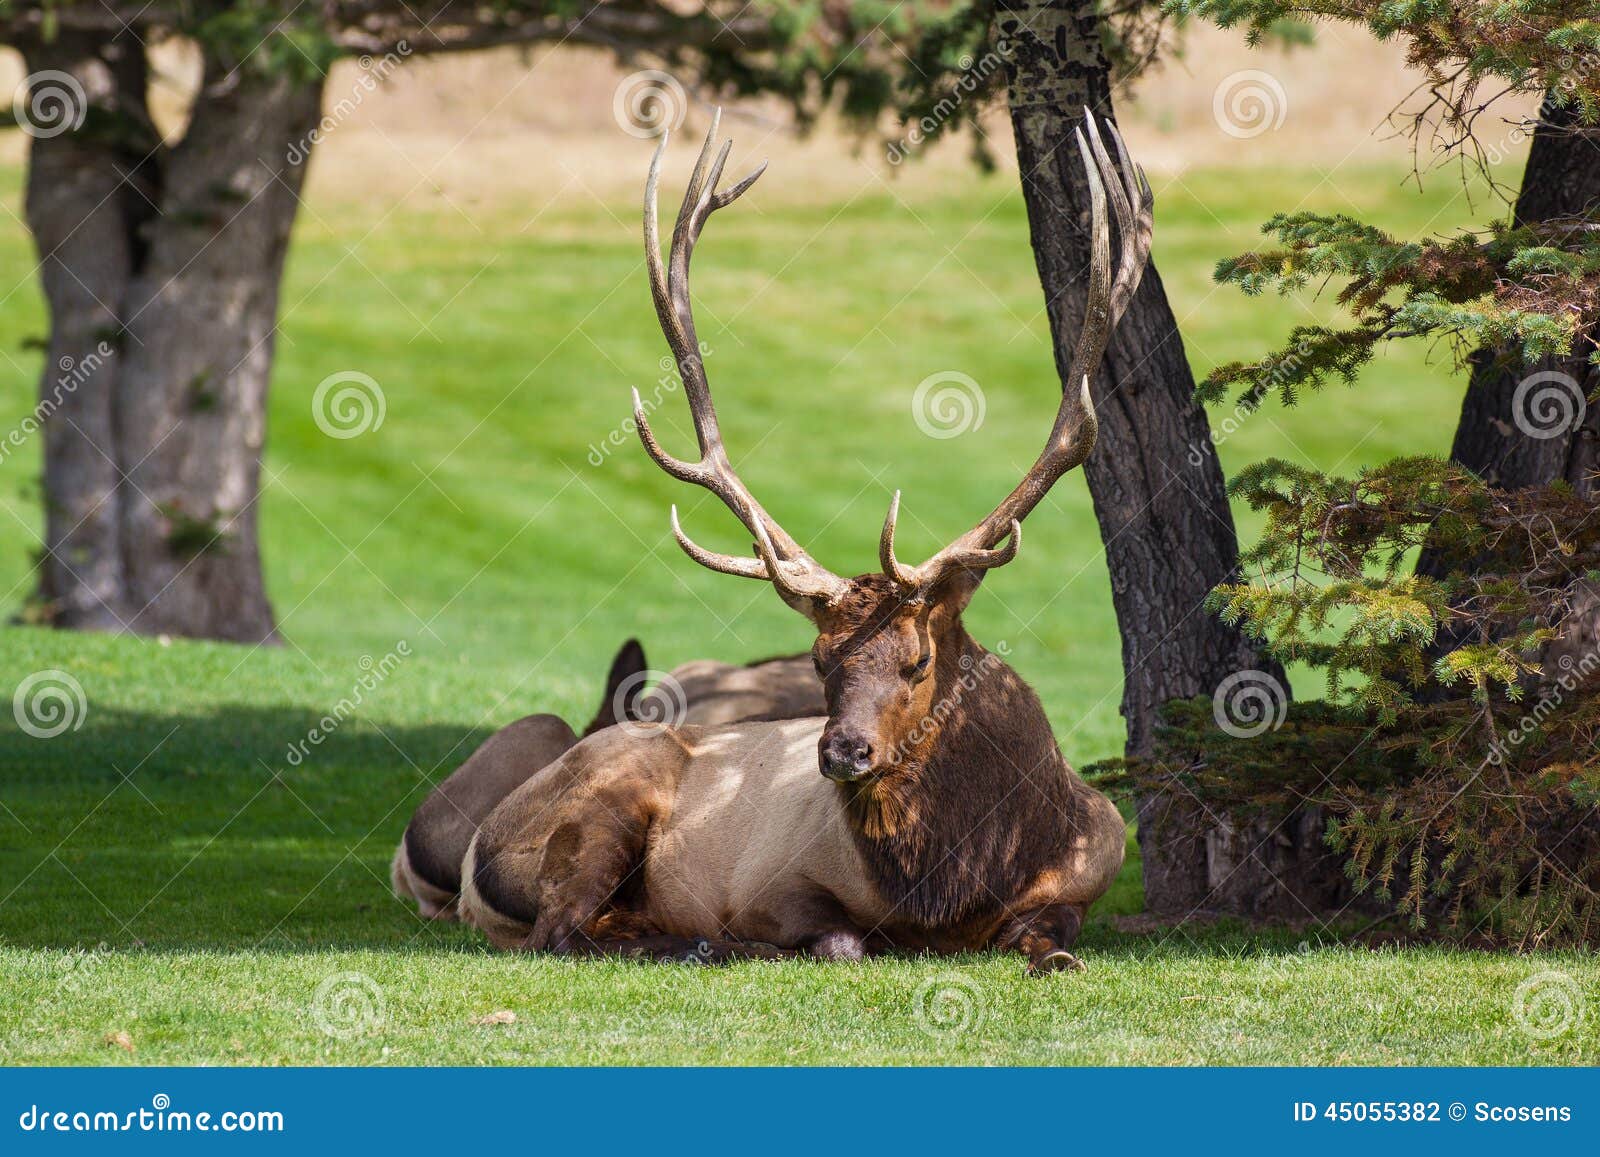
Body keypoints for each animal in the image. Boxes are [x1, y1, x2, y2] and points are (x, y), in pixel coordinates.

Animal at [458, 108, 1148, 974]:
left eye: (918, 660)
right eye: (820, 660)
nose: (842, 753)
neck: (953, 891)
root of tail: (467, 864)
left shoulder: (1088, 876)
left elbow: (1055, 943)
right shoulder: (774, 884)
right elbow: (839, 939)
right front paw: (760, 938)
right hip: (603, 802)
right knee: (562, 931)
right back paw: (697, 943)